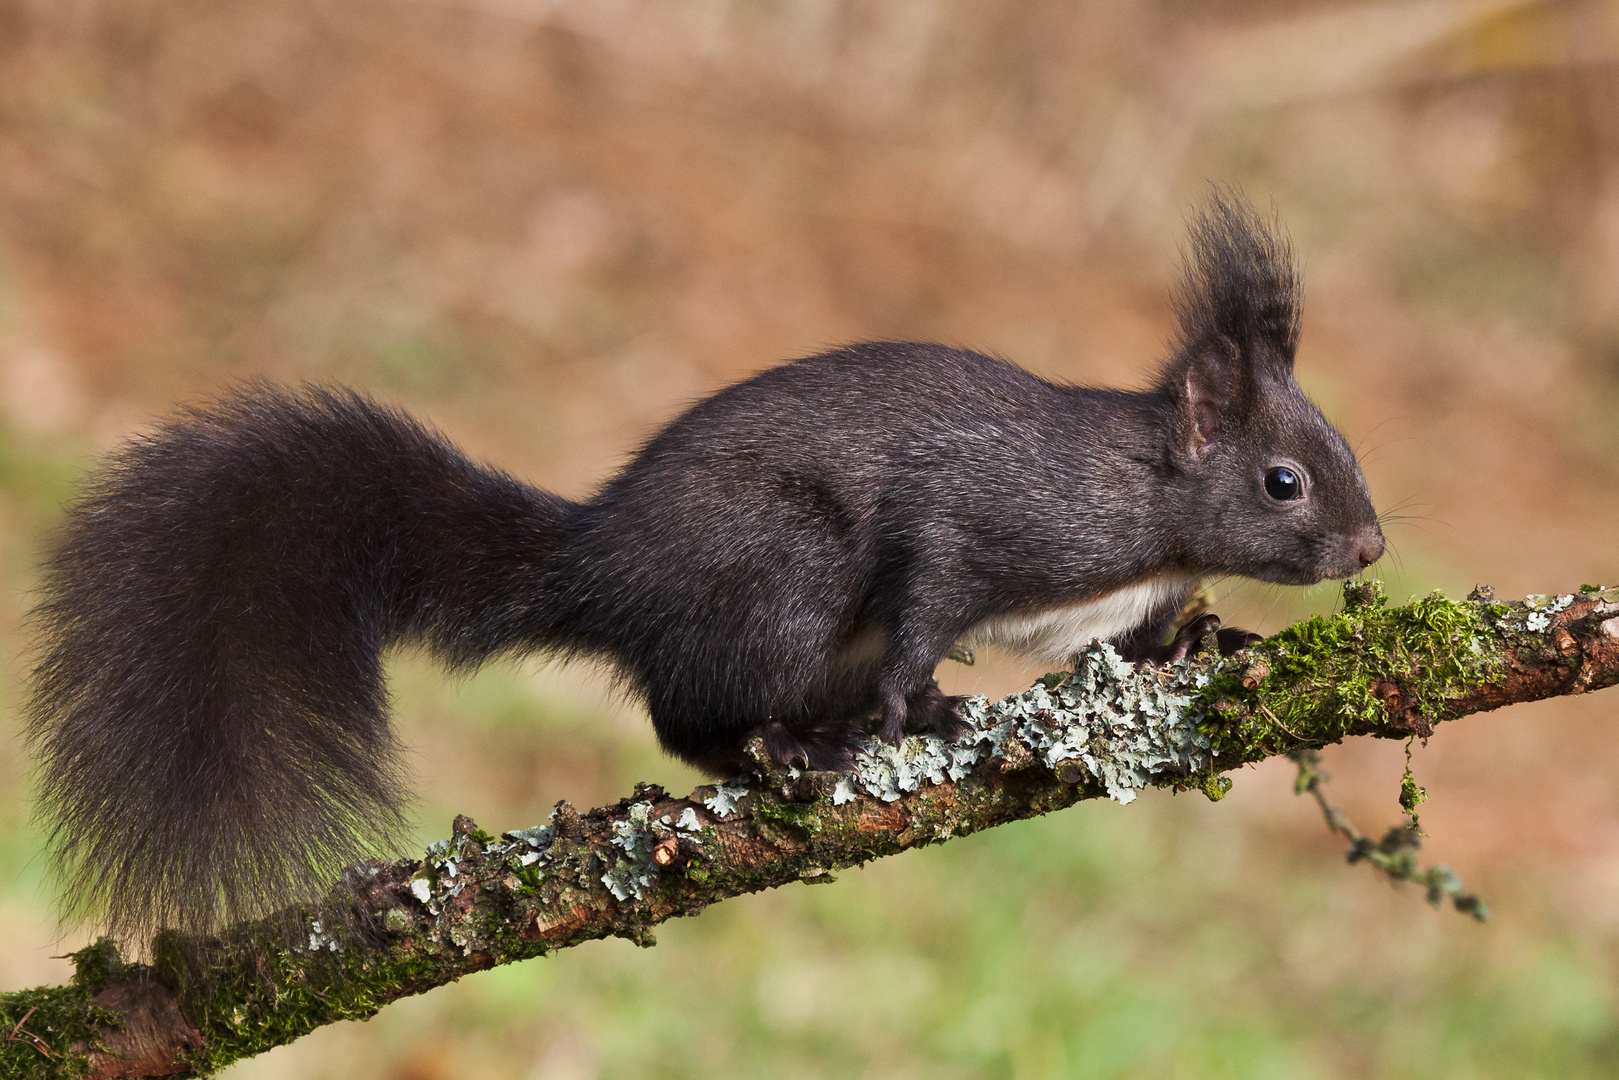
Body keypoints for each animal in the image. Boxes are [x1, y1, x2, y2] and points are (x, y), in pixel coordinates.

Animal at [25, 192, 1382, 943]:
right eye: (1283, 481)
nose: (1371, 546)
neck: (1146, 504)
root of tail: (598, 565)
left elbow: (1142, 639)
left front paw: (1205, 639)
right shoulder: (984, 512)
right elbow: (925, 594)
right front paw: (920, 703)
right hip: (781, 571)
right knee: (687, 716)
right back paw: (789, 745)